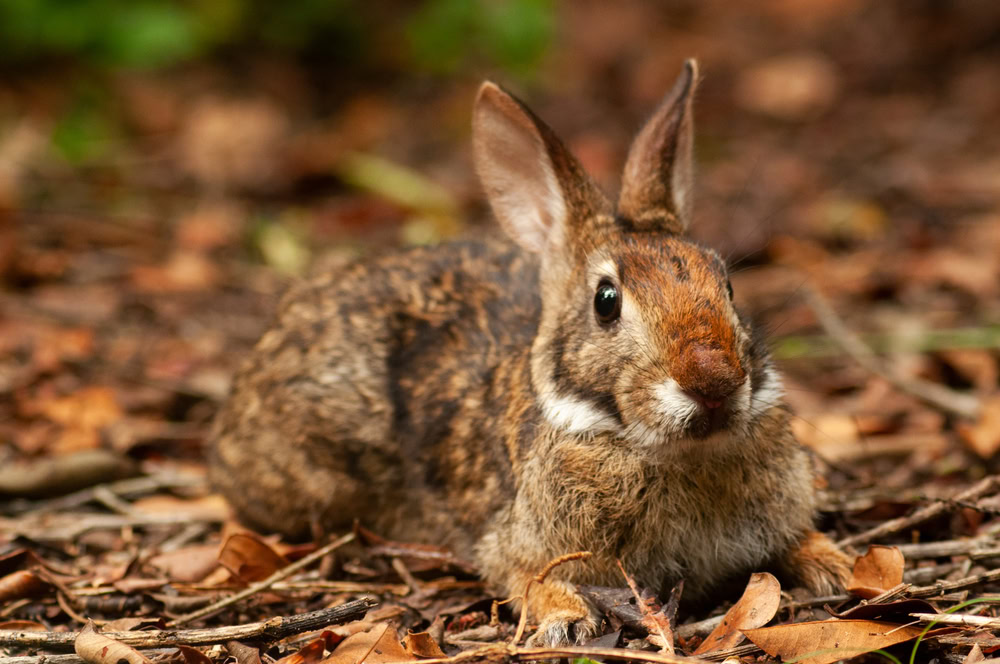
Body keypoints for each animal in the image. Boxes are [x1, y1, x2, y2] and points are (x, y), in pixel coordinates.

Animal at [208, 60, 852, 646]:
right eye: (606, 301)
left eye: (728, 286)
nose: (714, 382)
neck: (662, 448)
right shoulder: (518, 543)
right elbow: (528, 578)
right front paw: (566, 618)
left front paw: (837, 565)